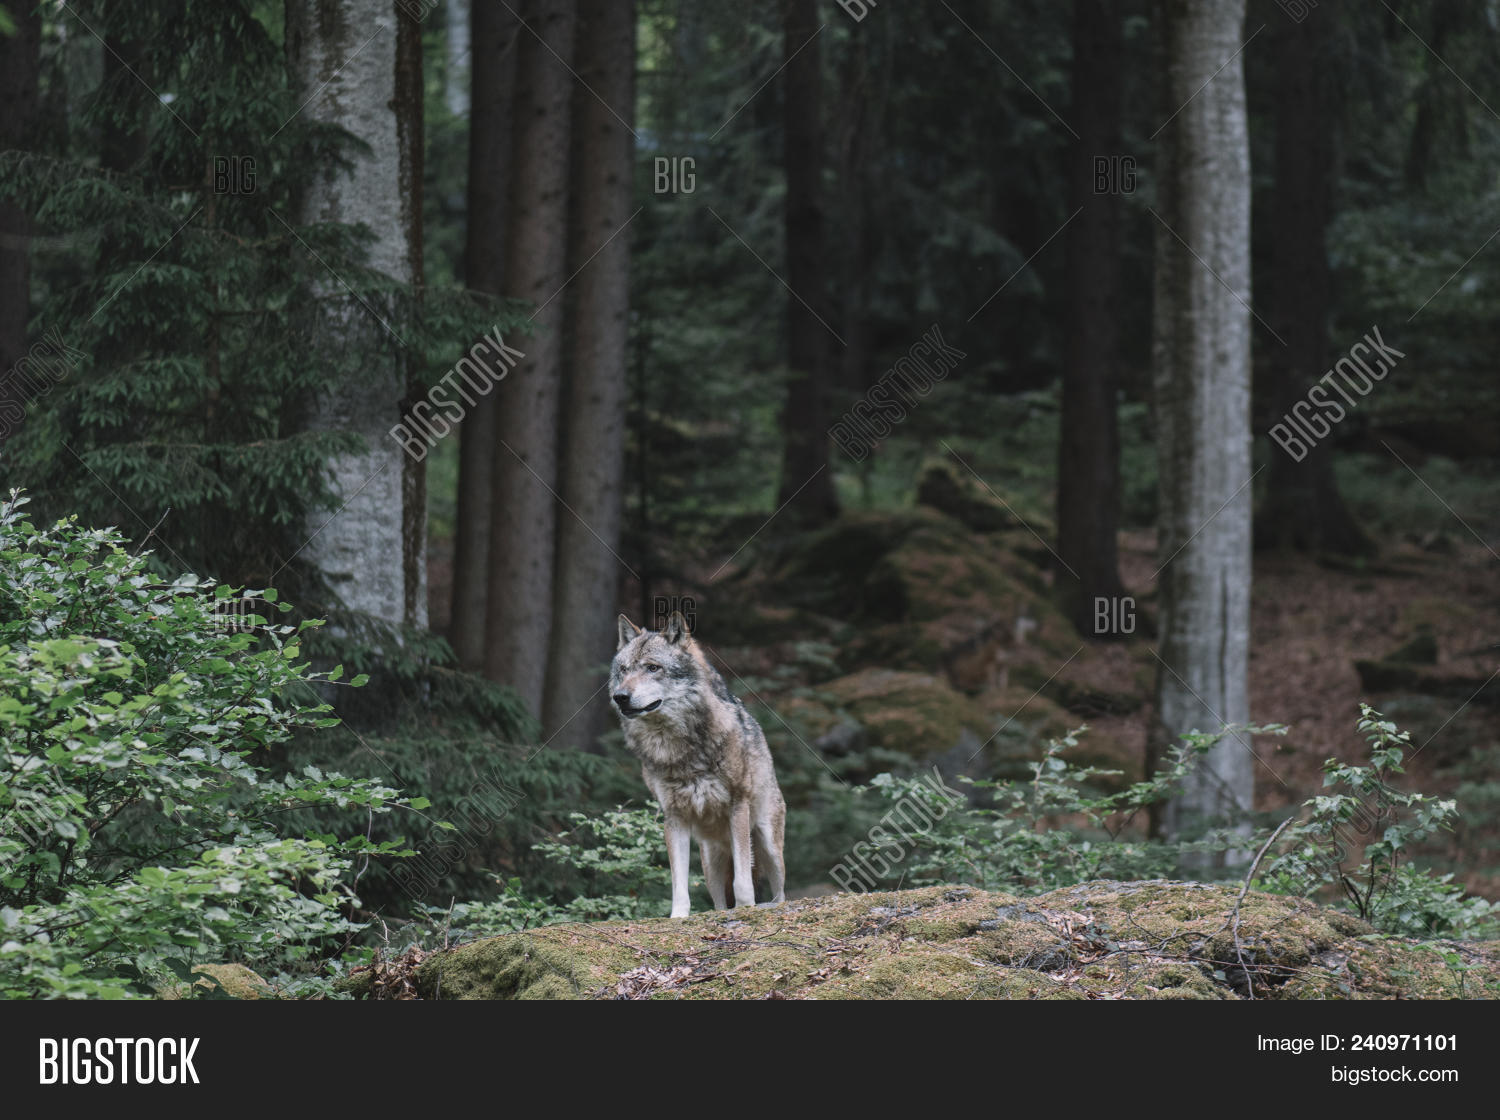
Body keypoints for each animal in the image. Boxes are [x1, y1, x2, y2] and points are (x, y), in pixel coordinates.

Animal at [610, 611, 786, 918]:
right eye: (623, 669)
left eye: (653, 668)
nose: (619, 696)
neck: (678, 749)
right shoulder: (673, 816)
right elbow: (679, 883)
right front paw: (678, 917)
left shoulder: (738, 804)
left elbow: (743, 882)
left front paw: (746, 908)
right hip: (710, 863)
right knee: (718, 902)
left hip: (768, 846)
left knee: (781, 892)